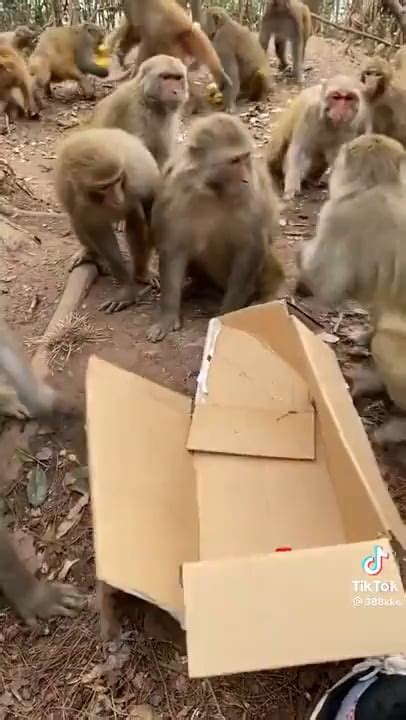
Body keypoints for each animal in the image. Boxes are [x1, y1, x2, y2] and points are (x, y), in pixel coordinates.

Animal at [55, 128, 161, 314]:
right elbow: (97, 229)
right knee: (77, 218)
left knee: (136, 219)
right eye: (104, 187)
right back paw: (90, 253)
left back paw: (141, 272)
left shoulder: (136, 178)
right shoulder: (70, 191)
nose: (118, 198)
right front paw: (126, 289)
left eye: (118, 180)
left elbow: (147, 203)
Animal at [146, 113, 284, 343]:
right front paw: (168, 315)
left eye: (245, 157)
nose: (245, 179)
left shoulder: (249, 197)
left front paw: (228, 315)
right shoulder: (175, 189)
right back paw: (197, 287)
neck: (211, 190)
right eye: (234, 160)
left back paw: (264, 296)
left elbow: (251, 247)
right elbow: (174, 247)